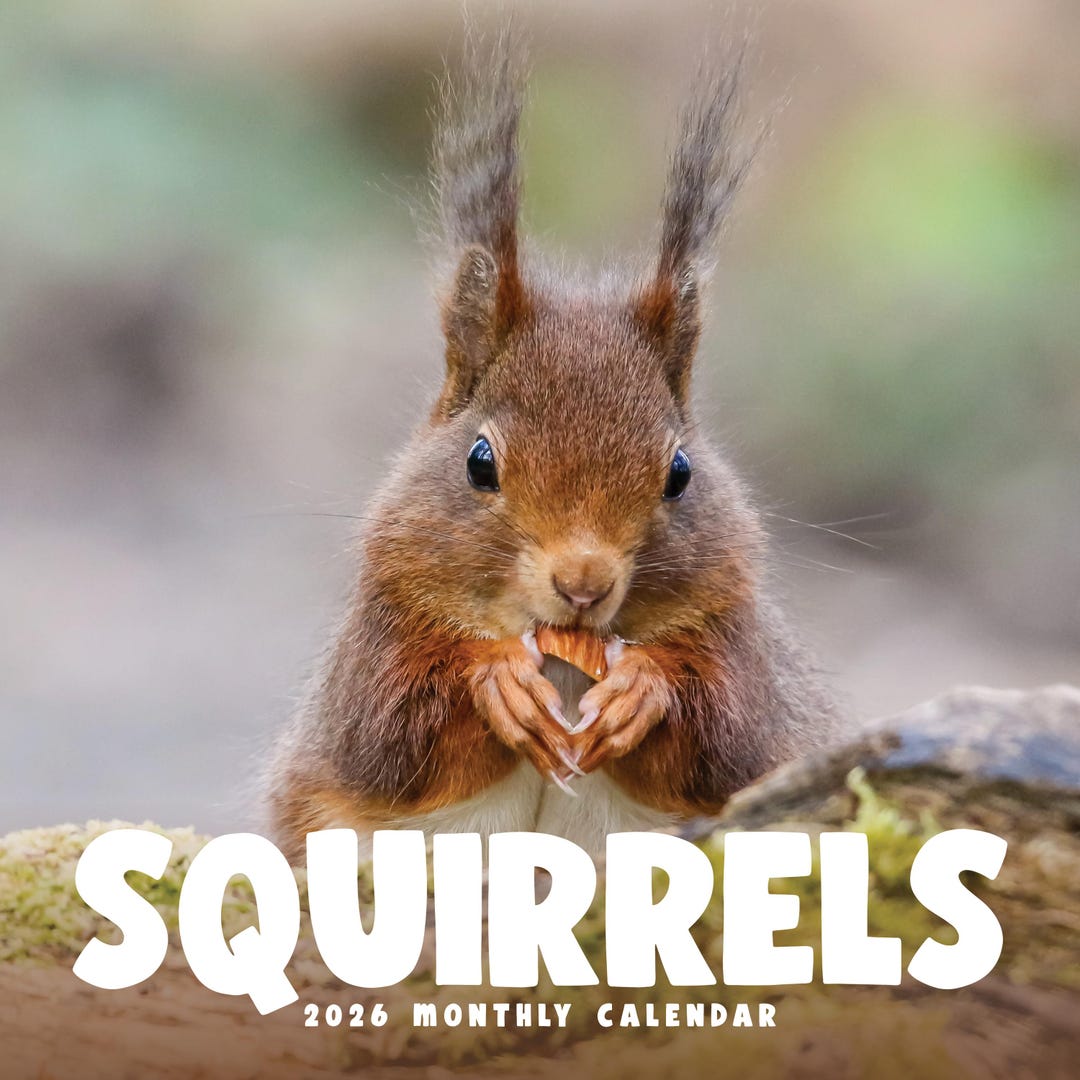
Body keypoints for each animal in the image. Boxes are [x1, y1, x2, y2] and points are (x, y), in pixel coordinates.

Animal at [265, 31, 837, 859]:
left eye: (680, 473)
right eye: (479, 462)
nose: (585, 582)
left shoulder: (746, 660)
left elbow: (722, 734)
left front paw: (642, 690)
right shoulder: (374, 651)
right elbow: (395, 732)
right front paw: (495, 679)